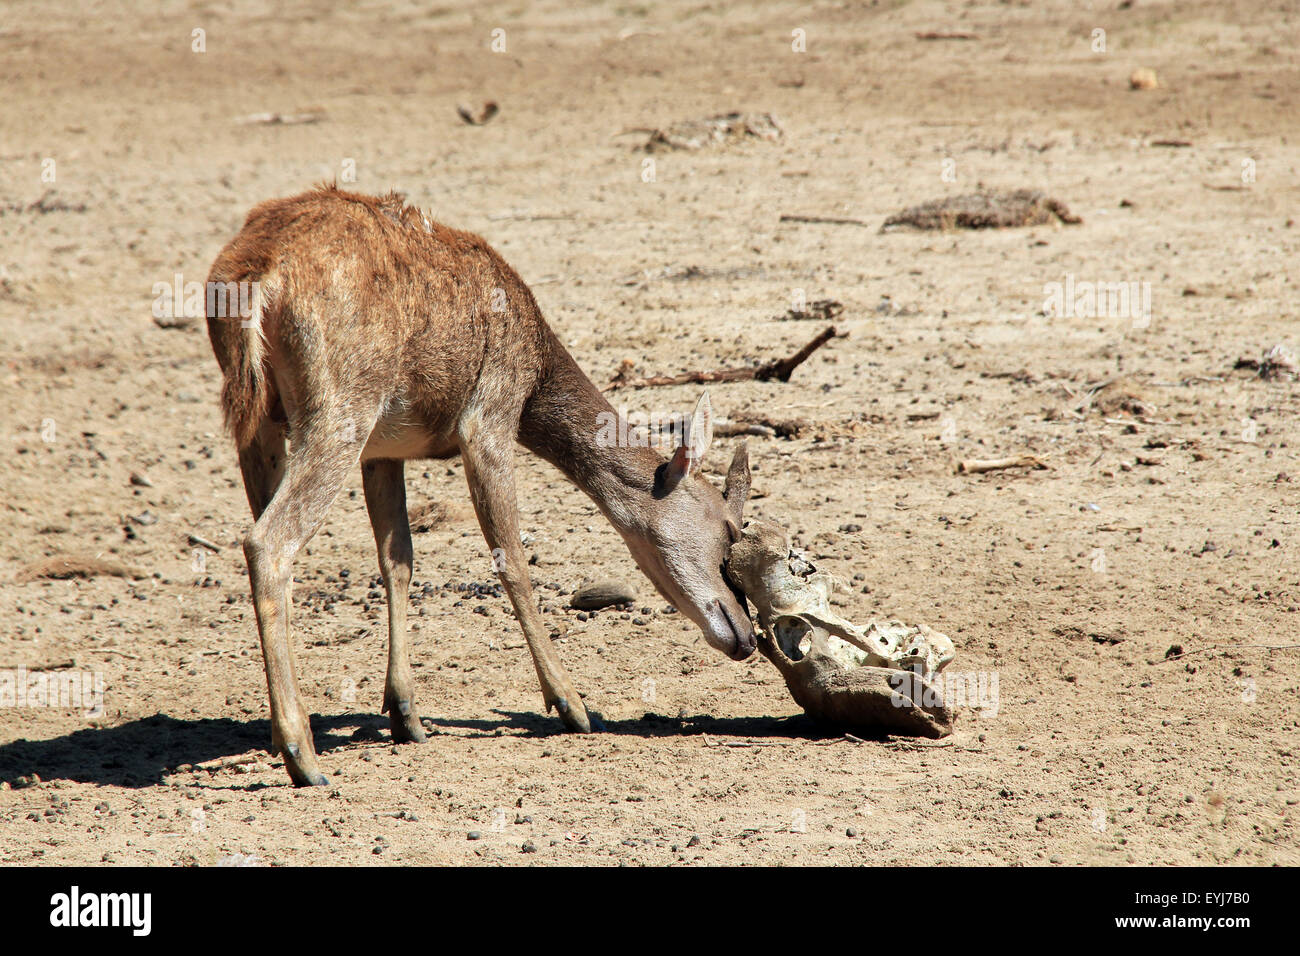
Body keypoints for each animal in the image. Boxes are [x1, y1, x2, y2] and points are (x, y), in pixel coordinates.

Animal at [206, 185, 755, 786]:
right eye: (729, 530)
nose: (748, 637)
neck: (536, 364)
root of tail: (254, 274)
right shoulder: (489, 415)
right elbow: (511, 557)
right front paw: (574, 706)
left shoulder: (384, 450)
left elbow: (398, 558)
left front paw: (406, 715)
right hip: (341, 408)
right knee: (268, 540)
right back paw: (302, 755)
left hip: (258, 421)